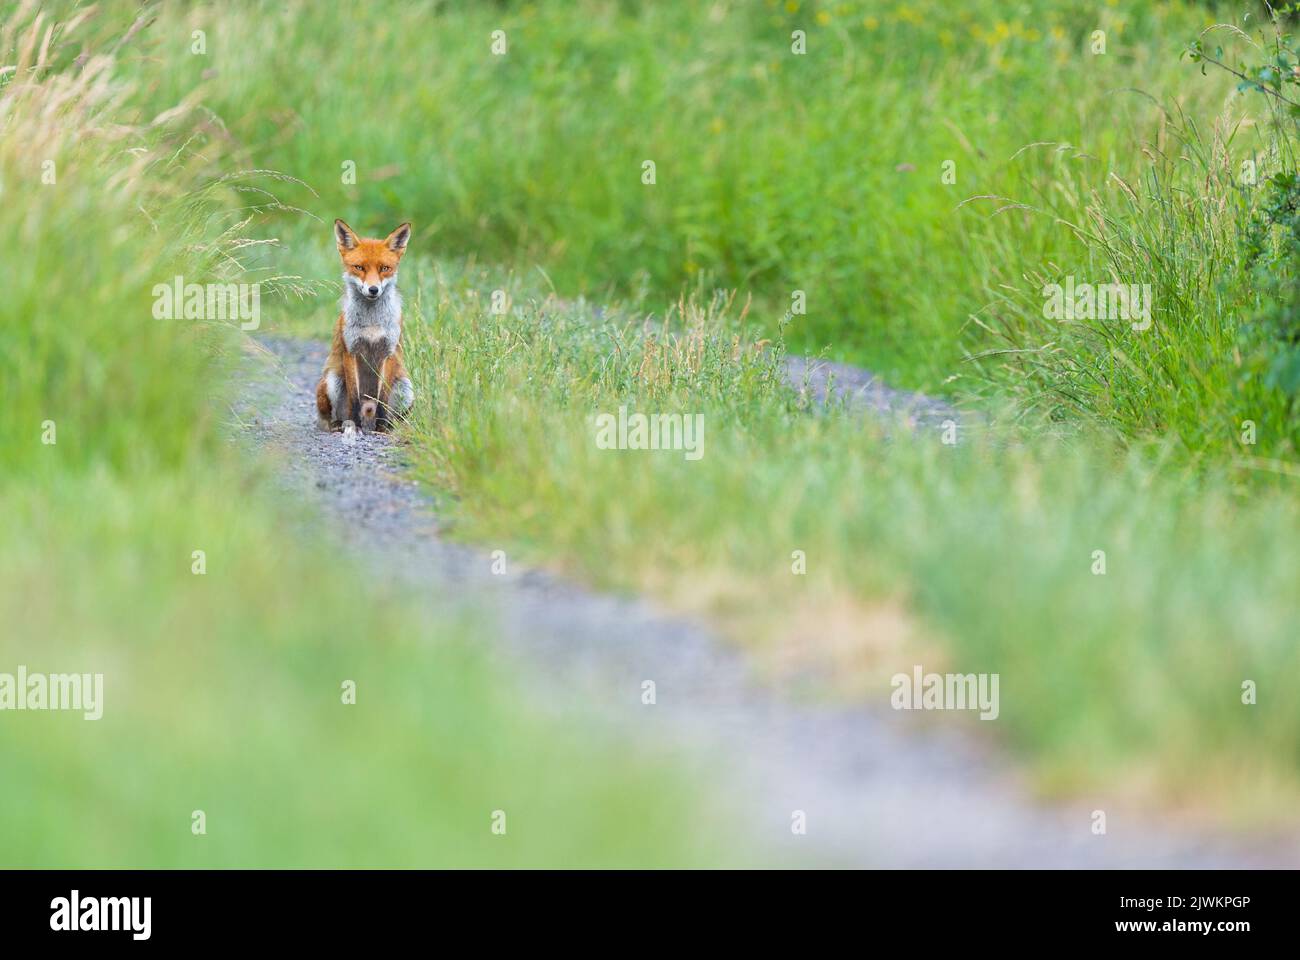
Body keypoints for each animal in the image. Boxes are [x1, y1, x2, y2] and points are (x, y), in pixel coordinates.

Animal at [315, 219, 415, 433]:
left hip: (406, 388)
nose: (373, 289)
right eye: (359, 267)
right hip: (332, 380)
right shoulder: (351, 350)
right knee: (328, 418)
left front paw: (381, 428)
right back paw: (339, 424)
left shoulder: (388, 352)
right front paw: (355, 426)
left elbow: (383, 398)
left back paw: (390, 426)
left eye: (384, 268)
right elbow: (354, 396)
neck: (372, 322)